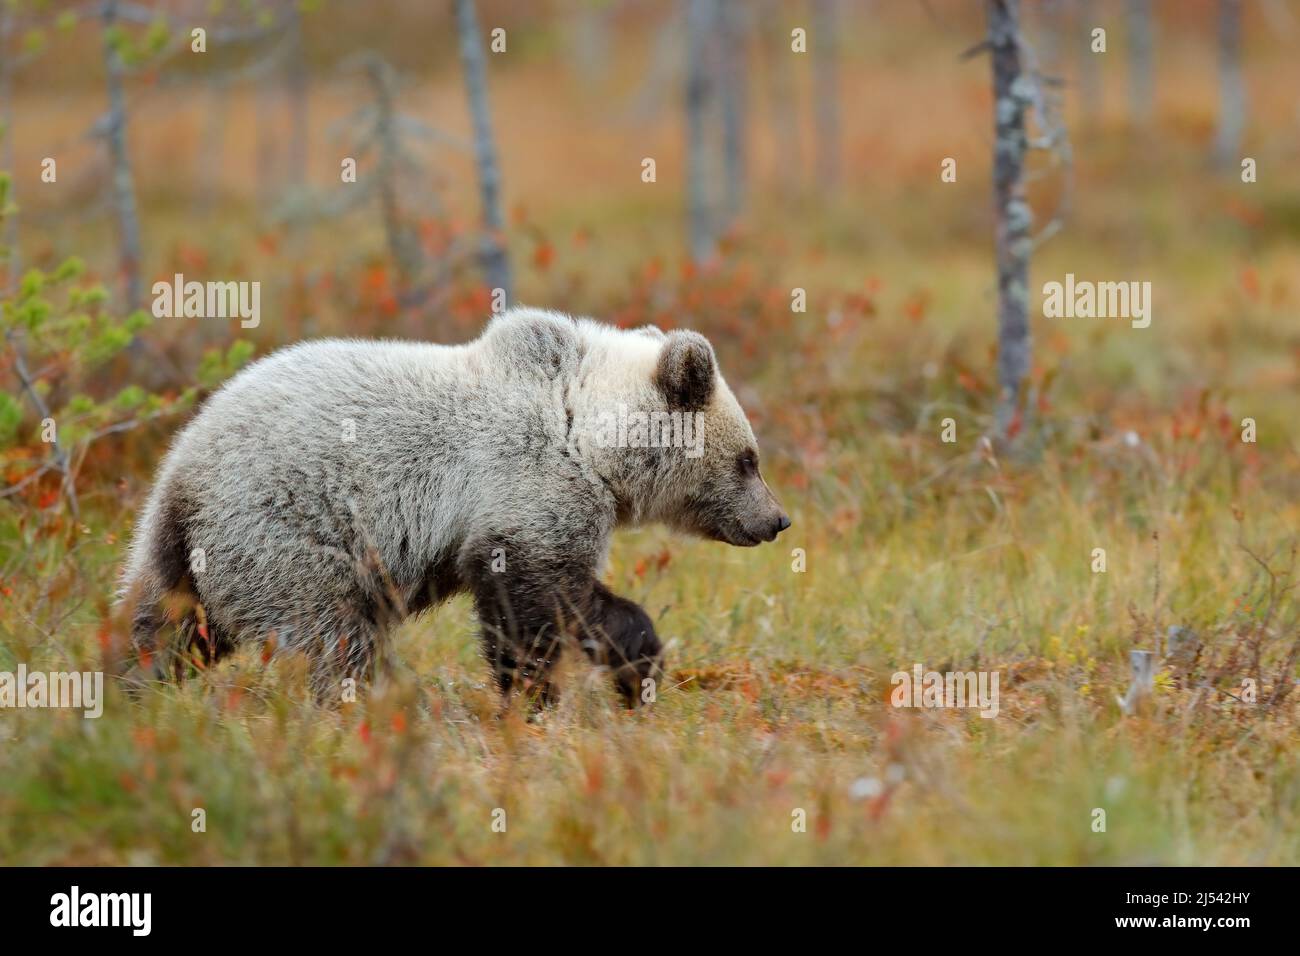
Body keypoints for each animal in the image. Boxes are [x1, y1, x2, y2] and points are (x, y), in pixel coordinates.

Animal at [119, 308, 790, 706]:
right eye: (749, 459)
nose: (777, 520)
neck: (588, 434)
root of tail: (183, 465)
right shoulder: (526, 491)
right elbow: (539, 604)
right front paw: (564, 690)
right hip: (287, 531)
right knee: (331, 634)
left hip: (193, 550)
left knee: (164, 622)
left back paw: (130, 689)